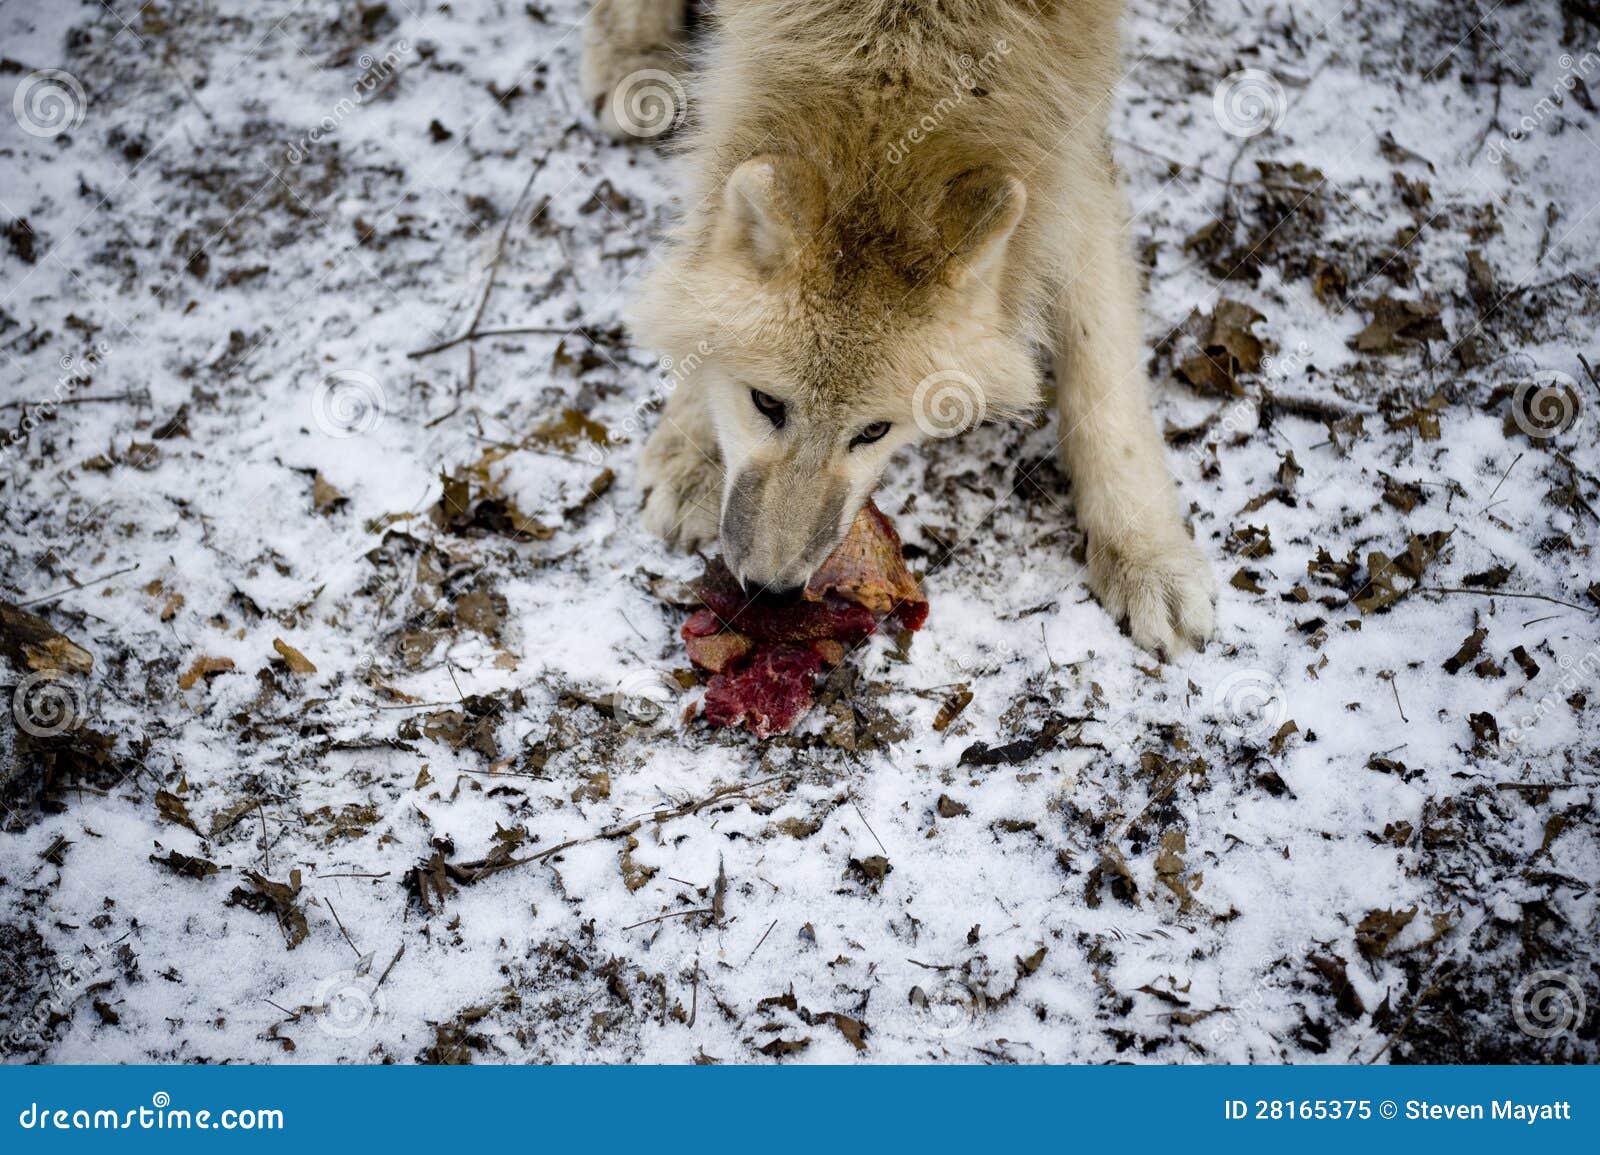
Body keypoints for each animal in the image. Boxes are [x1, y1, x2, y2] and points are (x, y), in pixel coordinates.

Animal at [582, 0, 1215, 657]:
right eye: (765, 403)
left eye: (874, 431)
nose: (770, 590)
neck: (904, 44)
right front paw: (692, 452)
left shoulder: (1076, 154)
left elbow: (1102, 365)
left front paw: (1148, 557)